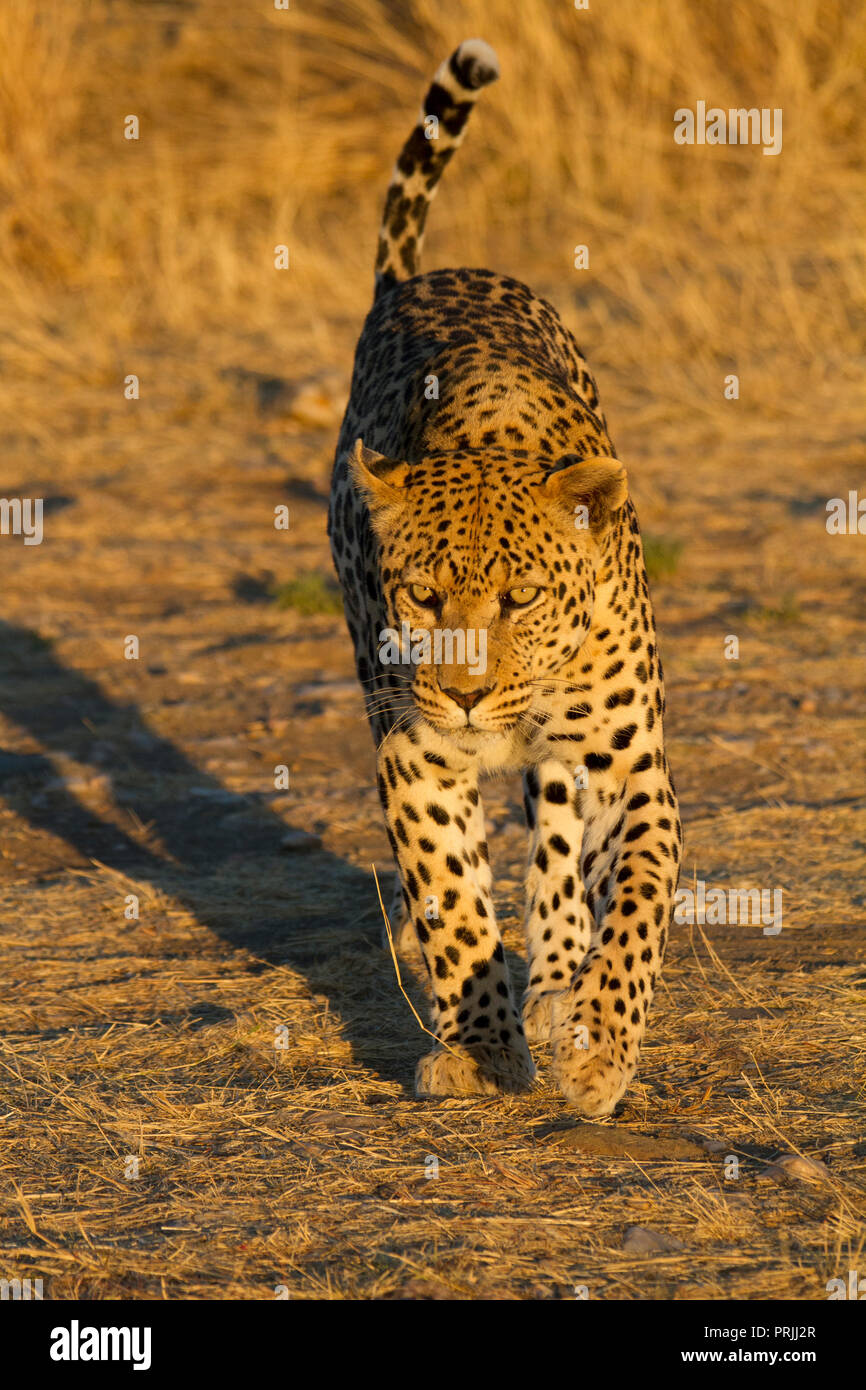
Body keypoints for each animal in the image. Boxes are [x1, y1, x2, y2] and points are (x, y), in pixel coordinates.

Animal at [328, 38, 682, 1117]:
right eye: (419, 594)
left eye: (521, 598)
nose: (469, 694)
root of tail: (419, 278)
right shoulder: (415, 753)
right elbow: (452, 898)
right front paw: (481, 1046)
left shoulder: (629, 766)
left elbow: (638, 900)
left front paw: (600, 1047)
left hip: (570, 768)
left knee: (560, 847)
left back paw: (561, 983)